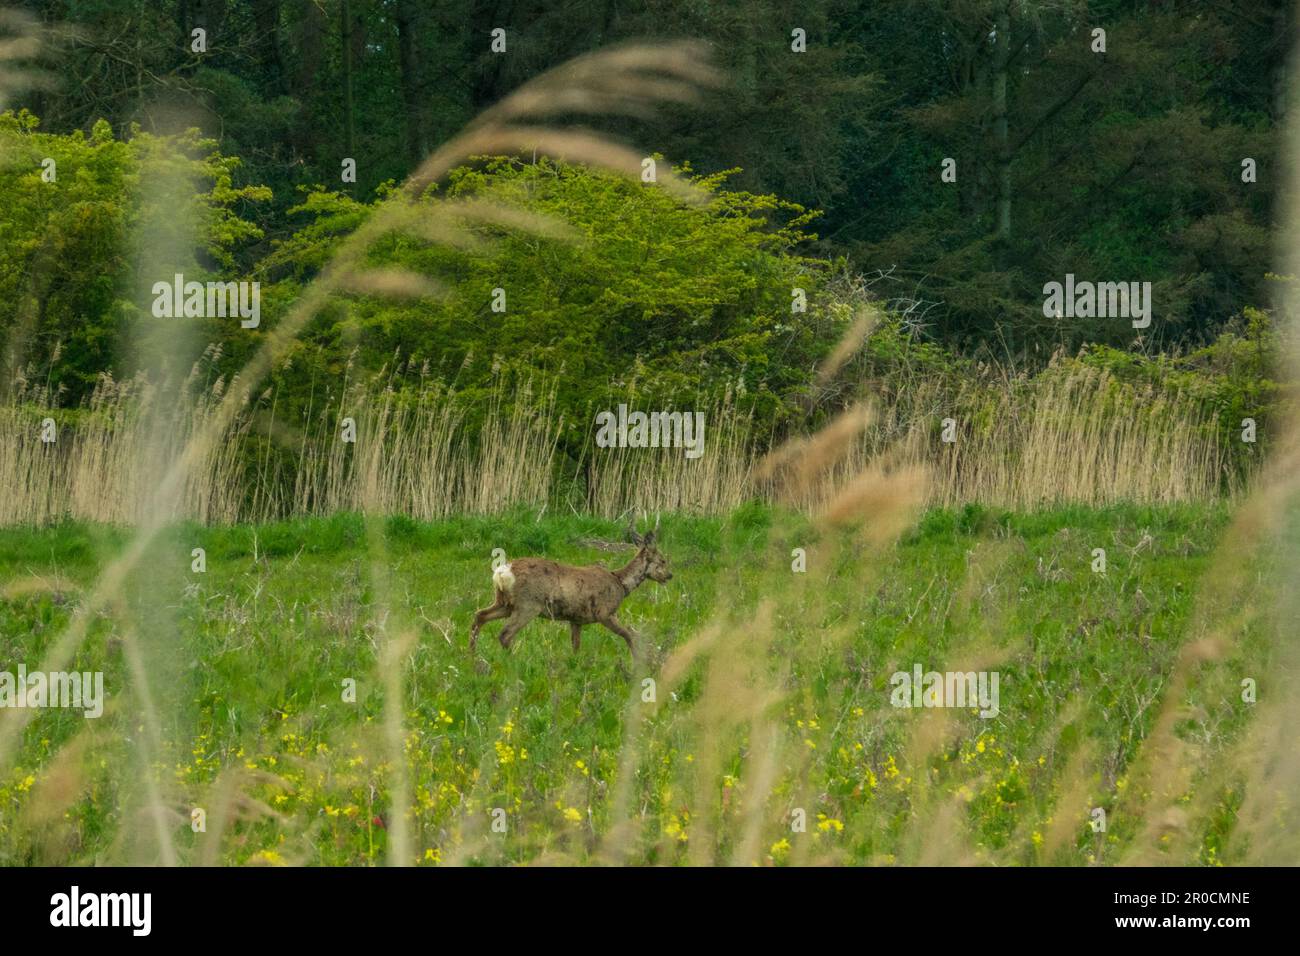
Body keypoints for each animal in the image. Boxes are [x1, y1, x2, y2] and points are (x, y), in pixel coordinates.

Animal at [469, 521, 672, 659]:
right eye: (662, 560)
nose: (669, 575)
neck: (620, 583)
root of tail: (503, 572)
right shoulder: (605, 612)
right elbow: (629, 636)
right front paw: (639, 662)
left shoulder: (576, 619)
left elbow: (576, 646)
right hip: (528, 605)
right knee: (505, 633)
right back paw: (512, 659)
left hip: (504, 602)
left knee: (480, 615)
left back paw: (471, 654)